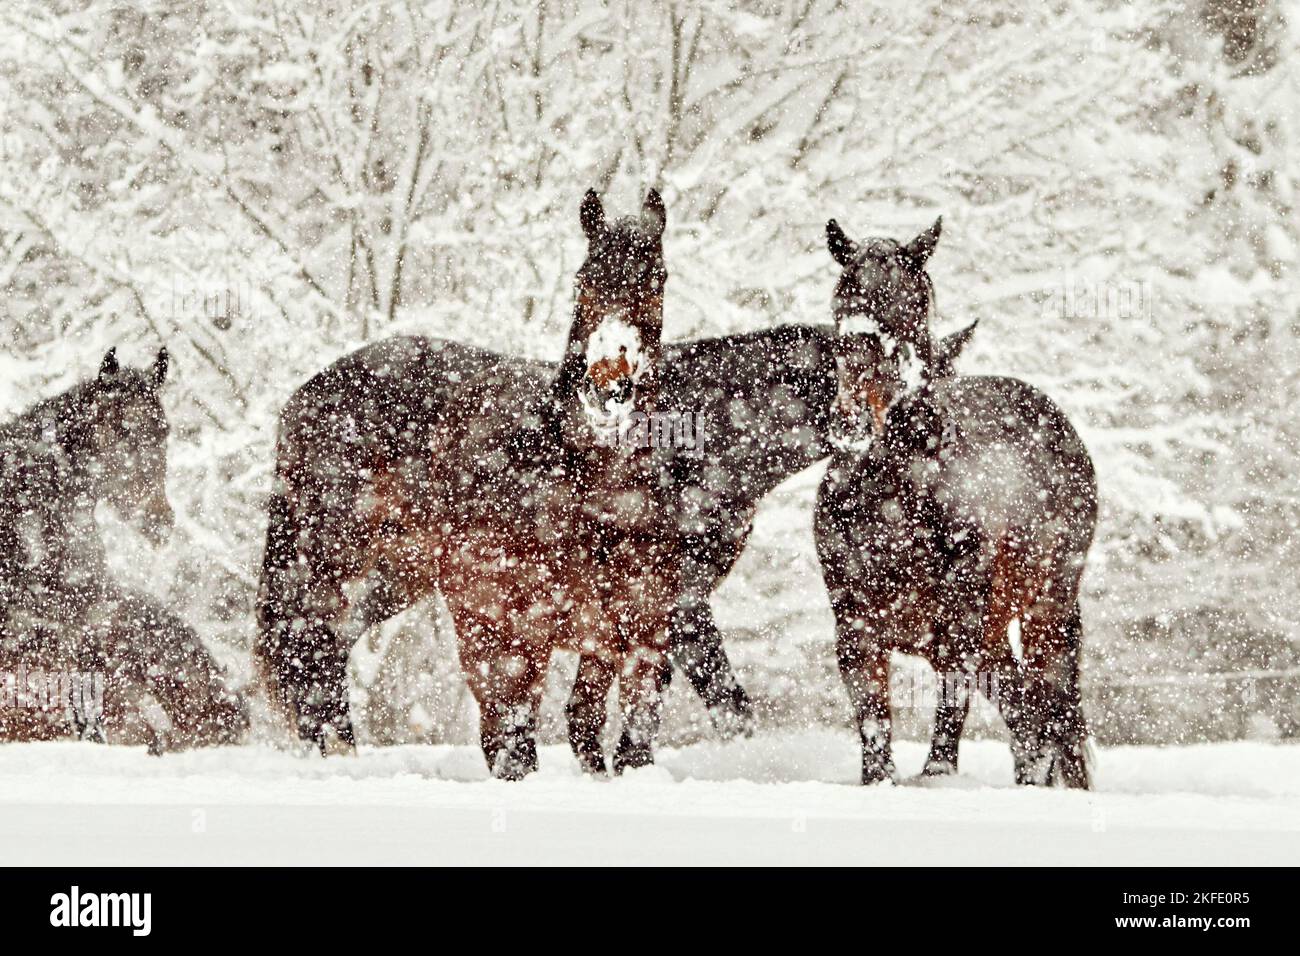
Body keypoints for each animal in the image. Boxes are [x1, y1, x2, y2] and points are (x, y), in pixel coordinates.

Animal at [813, 217, 1097, 788]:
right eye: (841, 303)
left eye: (910, 308)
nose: (851, 424)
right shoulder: (854, 629)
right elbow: (874, 727)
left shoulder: (958, 627)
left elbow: (950, 710)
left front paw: (938, 777)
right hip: (996, 632)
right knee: (1028, 718)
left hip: (1046, 608)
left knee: (1050, 713)